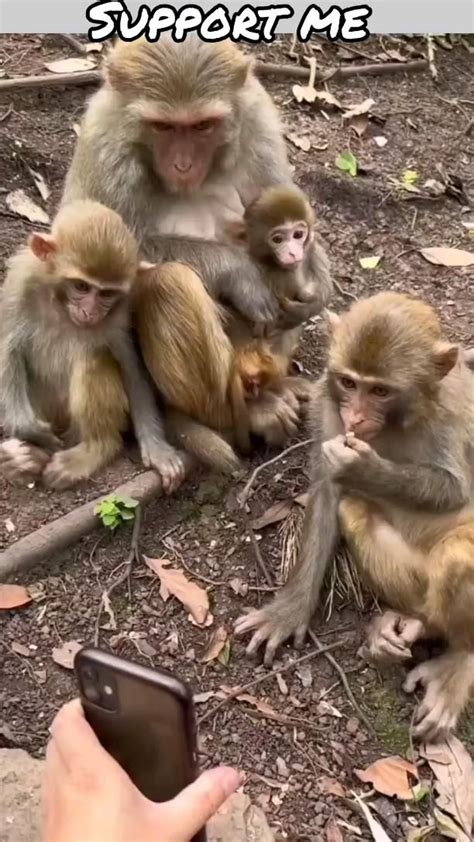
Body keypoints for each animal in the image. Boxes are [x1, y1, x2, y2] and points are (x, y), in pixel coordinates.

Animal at [0, 201, 185, 491]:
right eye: (80, 286)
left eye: (107, 293)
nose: (89, 312)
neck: (61, 304)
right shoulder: (19, 285)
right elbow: (9, 350)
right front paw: (27, 429)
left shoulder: (122, 312)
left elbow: (131, 368)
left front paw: (157, 450)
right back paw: (22, 458)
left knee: (92, 359)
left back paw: (92, 450)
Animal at [61, 37, 330, 470]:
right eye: (164, 127)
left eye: (203, 126)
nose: (183, 165)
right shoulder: (102, 140)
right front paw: (239, 274)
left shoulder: (256, 115)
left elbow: (284, 199)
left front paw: (320, 285)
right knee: (167, 281)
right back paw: (250, 412)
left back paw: (278, 384)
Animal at [236, 291, 474, 743]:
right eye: (349, 383)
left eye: (380, 390)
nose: (357, 418)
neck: (400, 420)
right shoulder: (328, 406)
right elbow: (329, 494)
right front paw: (289, 610)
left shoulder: (450, 416)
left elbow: (455, 490)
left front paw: (362, 469)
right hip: (417, 583)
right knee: (356, 512)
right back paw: (415, 626)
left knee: (458, 555)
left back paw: (460, 658)